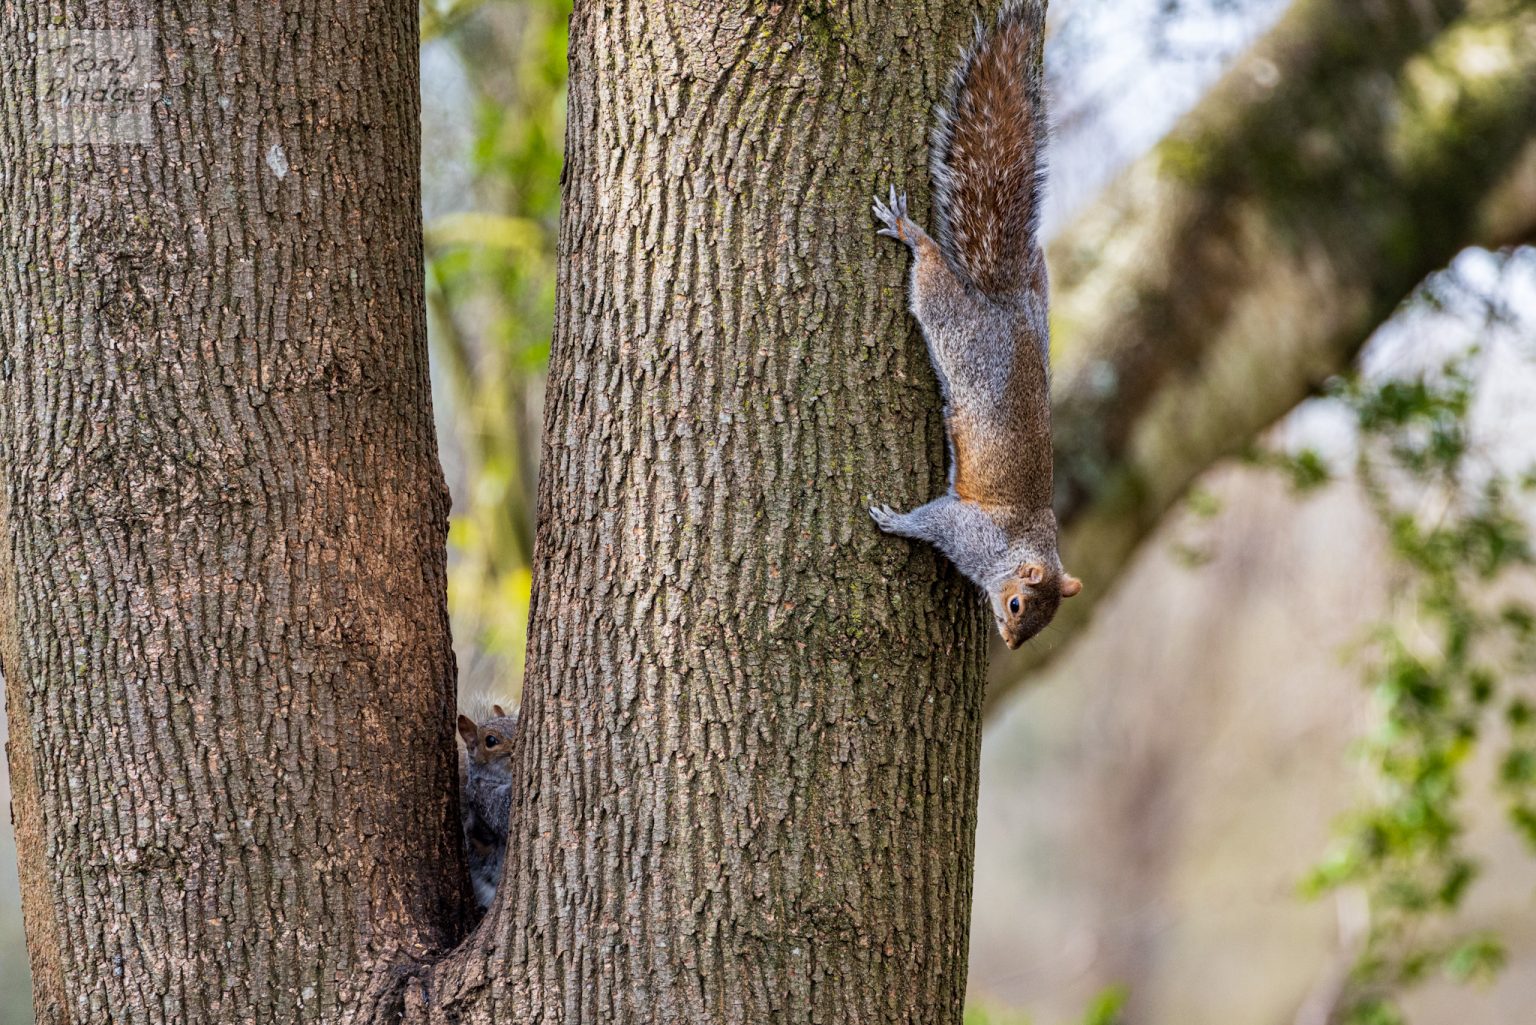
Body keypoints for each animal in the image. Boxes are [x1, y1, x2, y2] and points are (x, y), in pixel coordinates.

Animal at [869, 0, 1081, 650]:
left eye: (1040, 622)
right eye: (1016, 605)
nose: (1010, 643)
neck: (1021, 543)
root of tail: (1005, 302)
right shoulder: (967, 529)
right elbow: (930, 520)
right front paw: (895, 520)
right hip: (950, 317)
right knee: (931, 275)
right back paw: (910, 233)